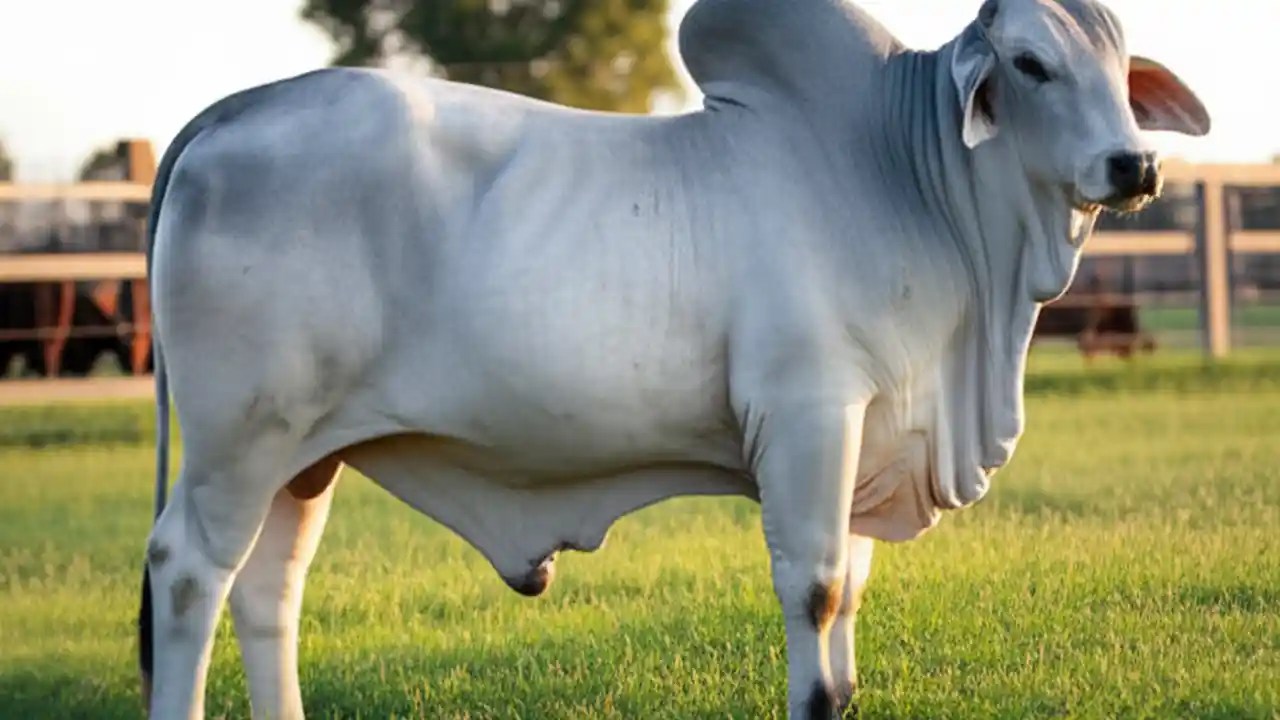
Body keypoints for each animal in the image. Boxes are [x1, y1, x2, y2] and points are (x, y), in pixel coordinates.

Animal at [137, 0, 1209, 717]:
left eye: (1122, 67)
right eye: (1030, 63)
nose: (1136, 166)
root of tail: (234, 111)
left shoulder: (867, 438)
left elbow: (850, 606)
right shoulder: (809, 416)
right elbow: (816, 591)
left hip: (304, 455)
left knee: (270, 589)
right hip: (239, 441)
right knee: (188, 574)